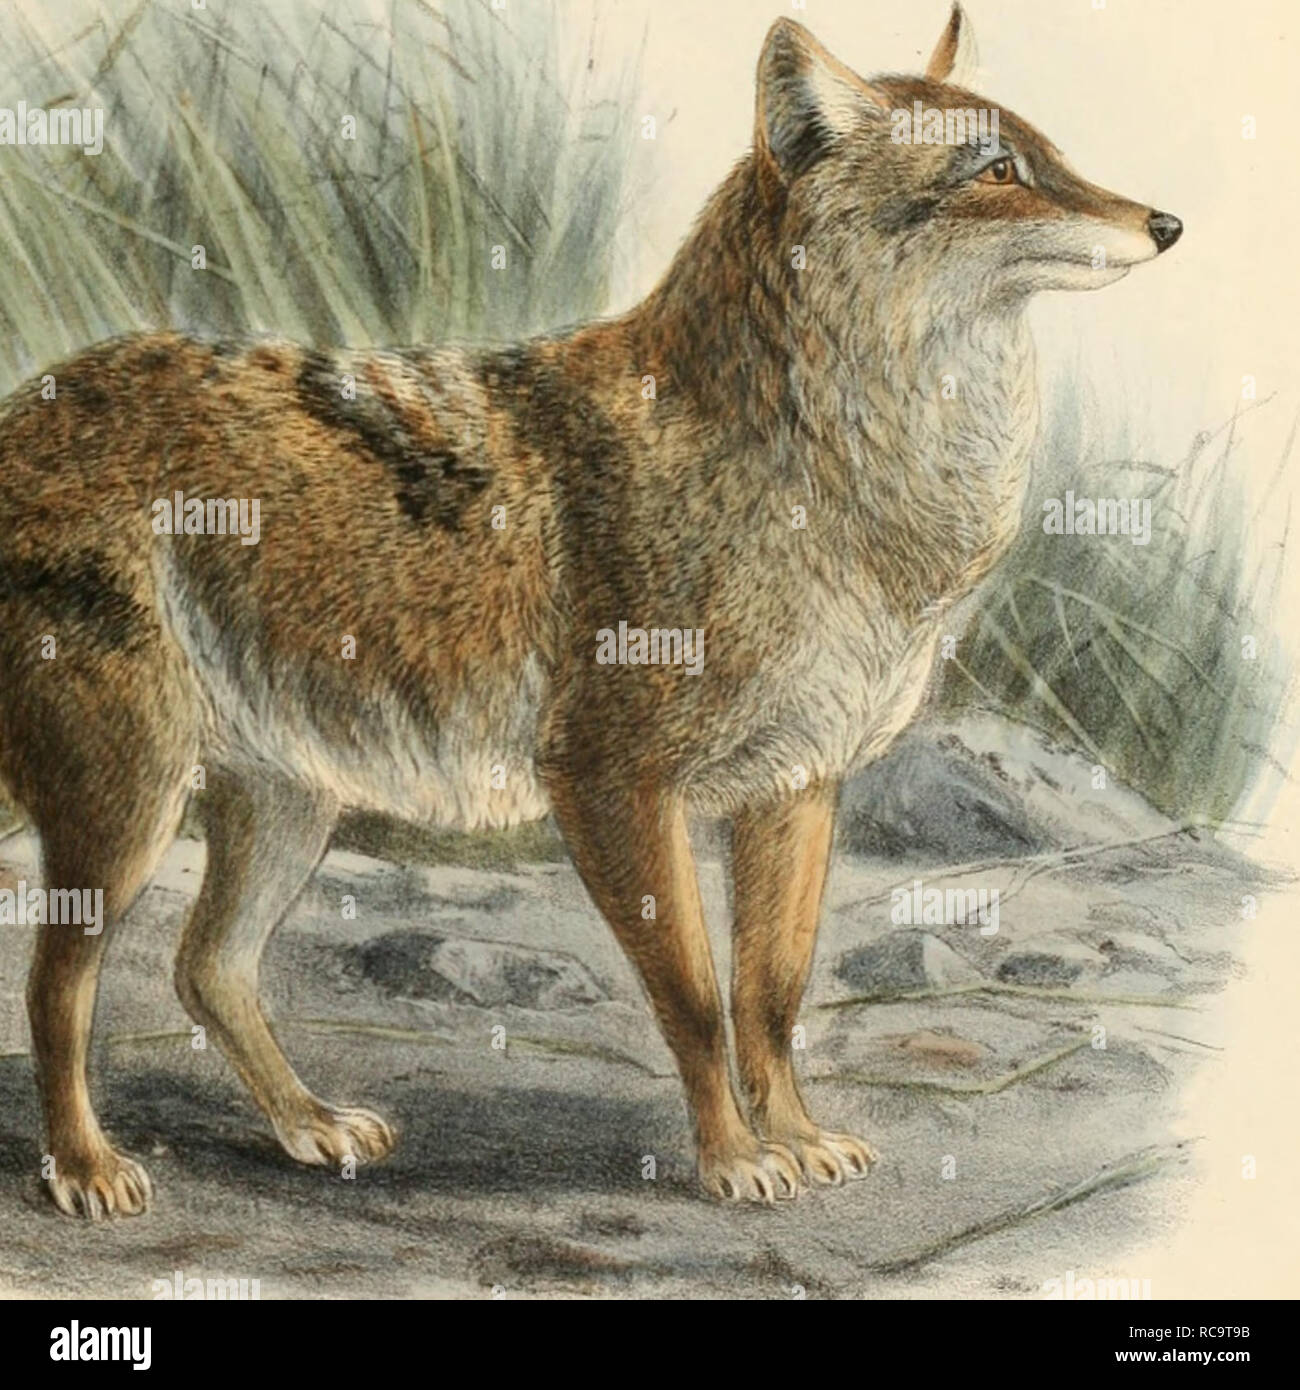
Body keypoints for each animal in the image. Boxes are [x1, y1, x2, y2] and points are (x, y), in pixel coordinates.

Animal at [0, 4, 1180, 1218]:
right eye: (996, 173)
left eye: (1053, 155)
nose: (1167, 223)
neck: (845, 487)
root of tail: (23, 405)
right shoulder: (615, 786)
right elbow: (696, 1001)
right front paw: (733, 1162)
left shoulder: (797, 788)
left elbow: (772, 997)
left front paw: (800, 1138)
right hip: (131, 811)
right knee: (56, 986)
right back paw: (85, 1168)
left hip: (285, 805)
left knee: (207, 967)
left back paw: (309, 1125)